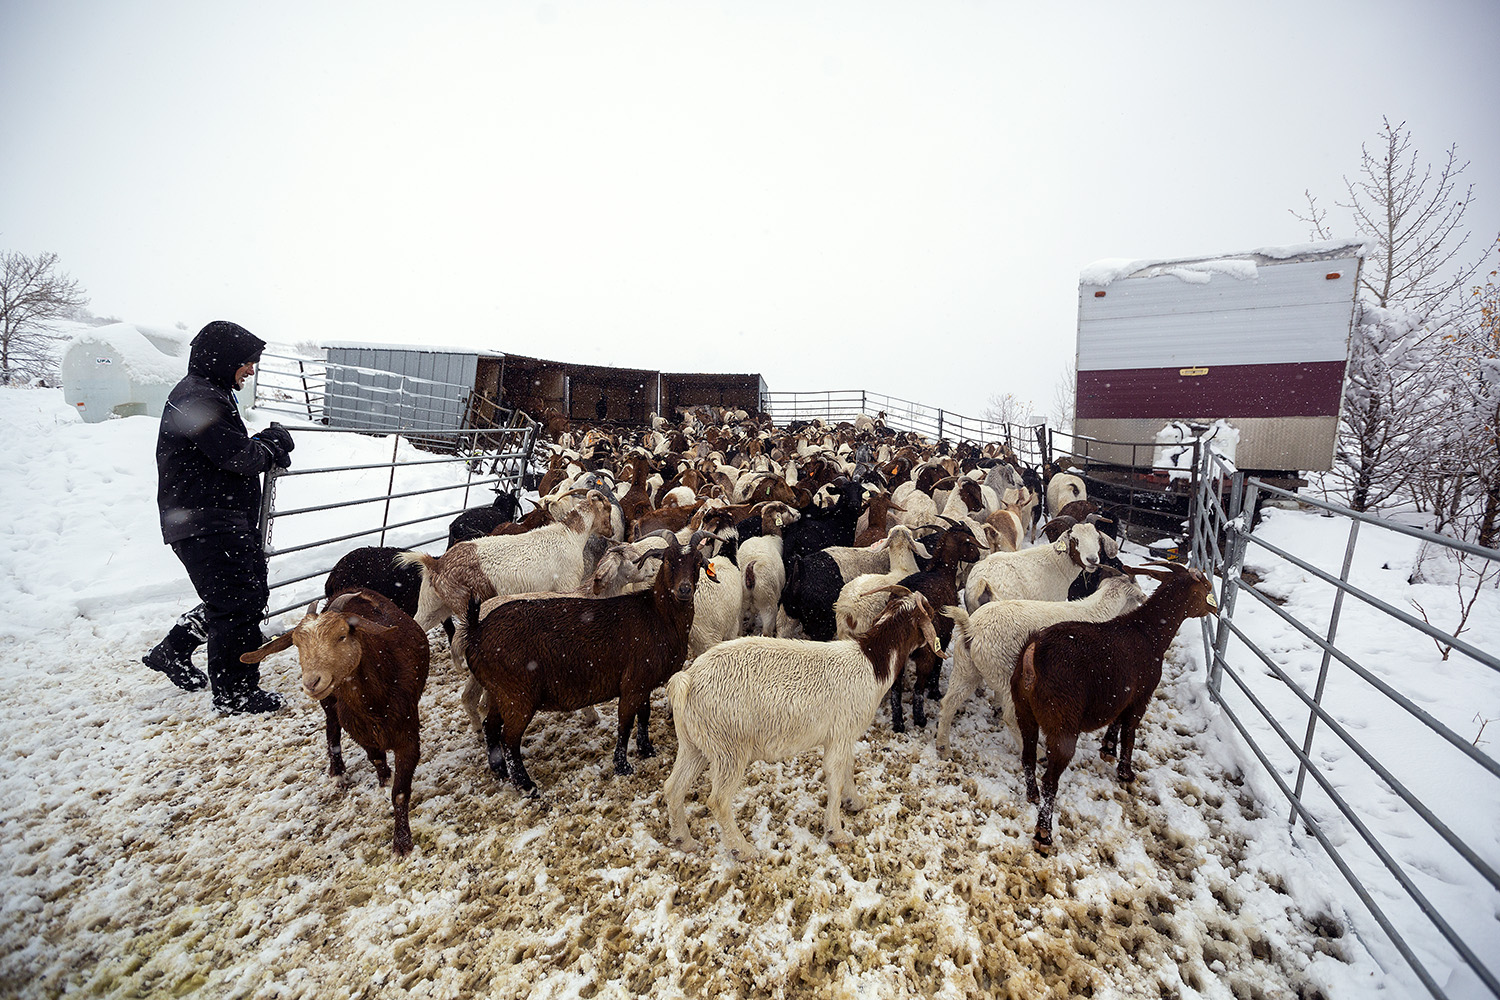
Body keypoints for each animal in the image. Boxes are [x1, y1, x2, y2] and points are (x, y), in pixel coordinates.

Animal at [241, 589, 430, 856]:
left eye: (341, 636)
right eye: (297, 644)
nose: (312, 682)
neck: (374, 703)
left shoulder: (408, 733)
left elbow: (400, 793)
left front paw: (402, 843)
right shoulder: (359, 731)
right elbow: (376, 758)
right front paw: (384, 779)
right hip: (329, 702)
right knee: (331, 728)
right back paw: (337, 771)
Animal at [456, 535, 715, 793]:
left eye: (697, 563)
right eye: (668, 561)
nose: (684, 589)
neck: (657, 614)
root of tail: (476, 631)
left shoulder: (644, 684)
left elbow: (644, 716)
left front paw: (646, 750)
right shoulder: (633, 684)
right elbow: (625, 723)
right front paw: (622, 766)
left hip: (498, 692)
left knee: (490, 727)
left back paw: (499, 770)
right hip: (516, 696)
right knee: (509, 739)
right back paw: (527, 786)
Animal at [663, 588, 940, 859]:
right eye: (930, 611)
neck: (871, 664)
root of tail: (688, 680)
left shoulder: (845, 735)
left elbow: (848, 767)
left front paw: (855, 802)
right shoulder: (841, 733)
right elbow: (836, 776)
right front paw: (837, 832)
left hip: (696, 743)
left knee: (673, 788)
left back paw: (684, 840)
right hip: (729, 747)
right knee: (718, 800)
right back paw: (742, 850)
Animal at [1014, 562, 1218, 850]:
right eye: (1206, 588)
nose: (1215, 609)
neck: (1149, 633)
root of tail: (1033, 653)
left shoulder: (1122, 695)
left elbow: (1117, 721)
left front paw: (1108, 748)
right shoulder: (1142, 695)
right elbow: (1130, 730)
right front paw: (1126, 772)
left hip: (1024, 712)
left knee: (1028, 757)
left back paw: (1031, 795)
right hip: (1062, 721)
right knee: (1050, 779)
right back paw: (1044, 833)